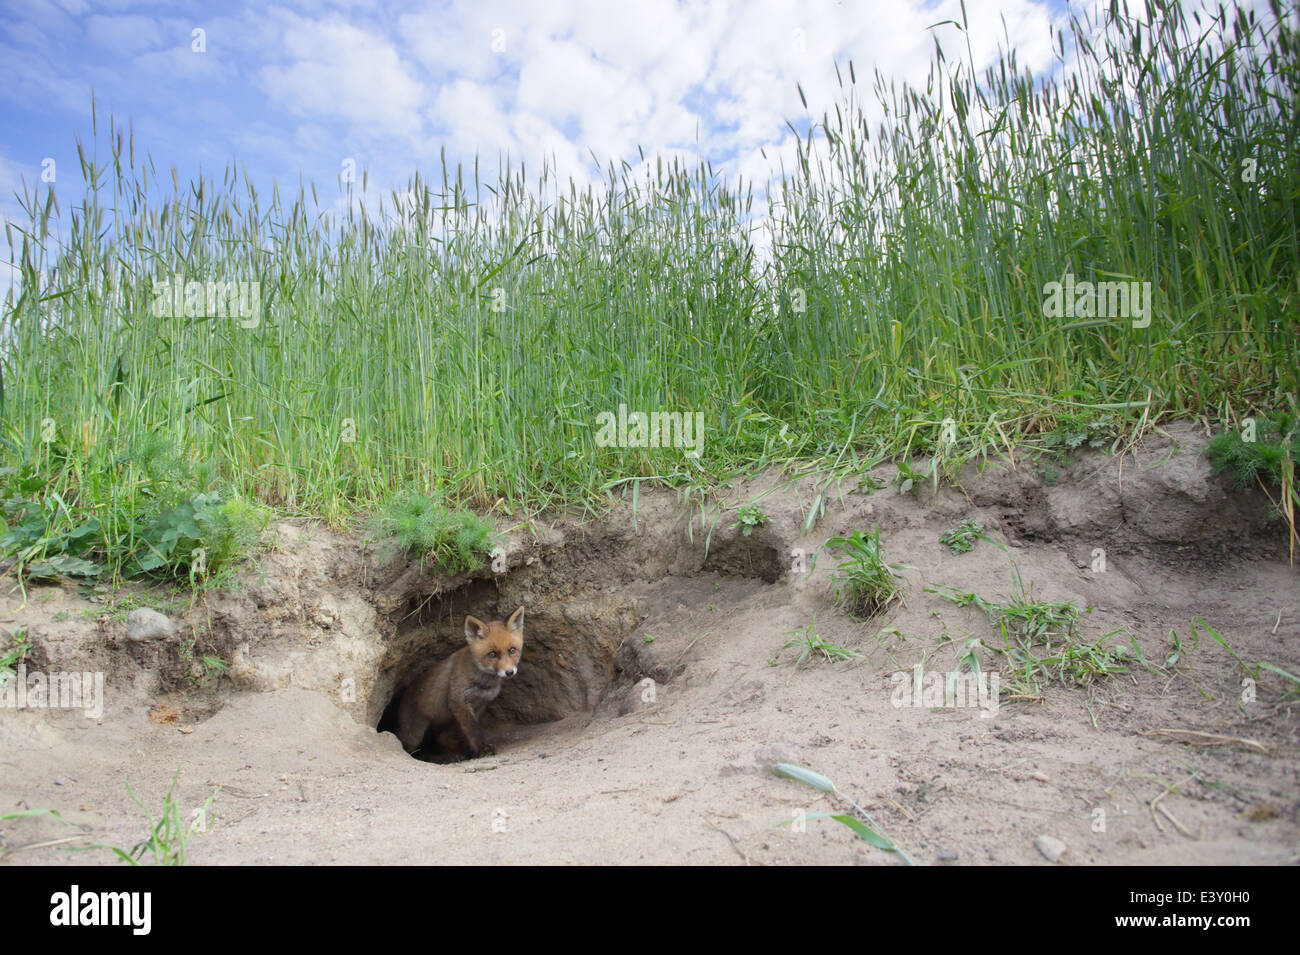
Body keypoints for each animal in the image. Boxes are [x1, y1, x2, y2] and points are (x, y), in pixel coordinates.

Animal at [395, 606, 524, 759]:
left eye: (512, 650)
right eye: (492, 654)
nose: (509, 672)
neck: (483, 683)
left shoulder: (480, 704)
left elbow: (468, 731)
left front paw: (474, 750)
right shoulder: (458, 701)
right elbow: (474, 730)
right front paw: (482, 749)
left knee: (442, 738)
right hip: (414, 735)